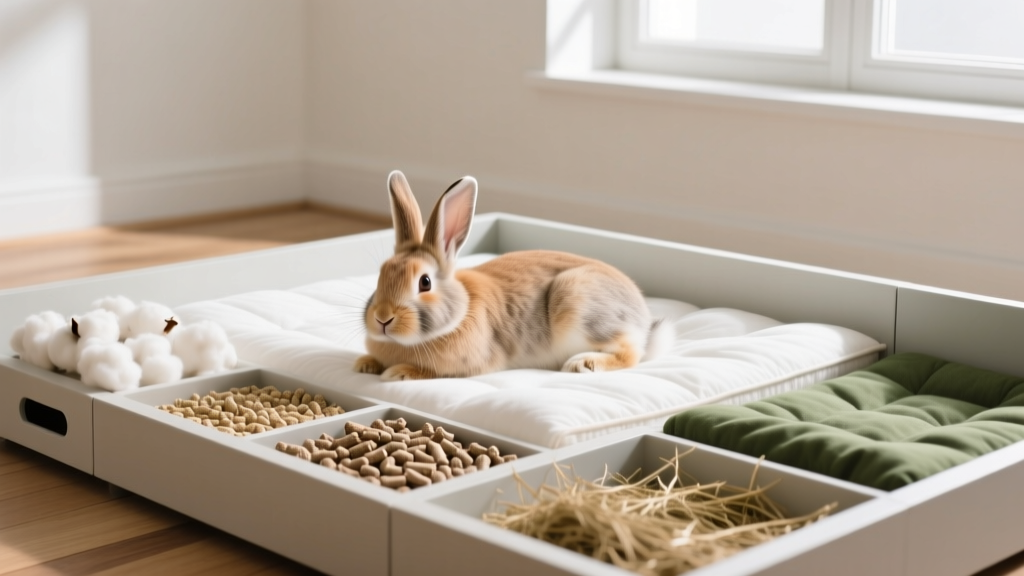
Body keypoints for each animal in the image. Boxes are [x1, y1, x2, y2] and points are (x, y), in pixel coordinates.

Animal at [353, 170, 670, 381]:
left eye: (425, 282)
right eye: (381, 274)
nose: (382, 318)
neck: (460, 312)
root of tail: (643, 320)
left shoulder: (467, 366)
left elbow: (430, 372)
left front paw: (398, 372)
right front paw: (365, 364)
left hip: (579, 303)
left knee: (630, 353)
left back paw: (583, 364)